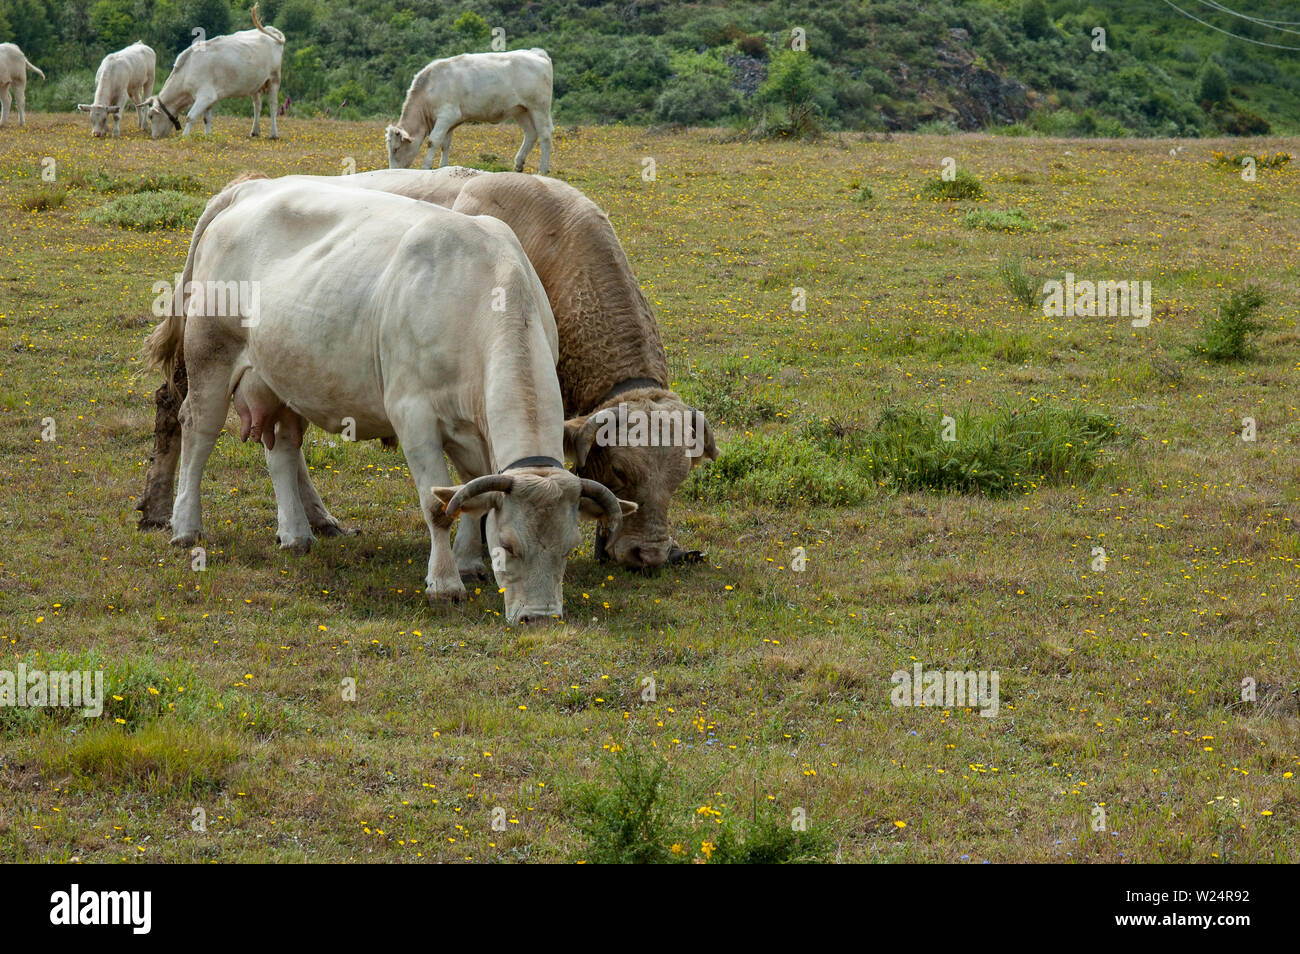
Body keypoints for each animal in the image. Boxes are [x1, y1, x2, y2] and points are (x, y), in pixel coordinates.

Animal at [137, 168, 716, 571]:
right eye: (618, 469)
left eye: (682, 476)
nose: (649, 555)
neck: (553, 240)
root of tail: (245, 188)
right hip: (206, 355)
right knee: (183, 418)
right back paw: (168, 516)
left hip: (286, 372)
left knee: (282, 441)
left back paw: (314, 523)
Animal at [143, 4, 284, 139]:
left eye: (150, 116)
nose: (154, 137)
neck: (186, 73)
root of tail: (271, 30)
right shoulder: (211, 98)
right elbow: (207, 119)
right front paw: (208, 135)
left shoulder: (205, 95)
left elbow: (190, 116)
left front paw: (185, 136)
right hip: (256, 84)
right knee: (257, 106)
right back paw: (254, 132)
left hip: (274, 78)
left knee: (273, 106)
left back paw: (274, 134)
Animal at [386, 49, 553, 174]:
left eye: (396, 149)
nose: (392, 171)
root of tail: (536, 53)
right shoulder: (450, 122)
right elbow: (445, 144)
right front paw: (443, 166)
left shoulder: (447, 115)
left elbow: (433, 141)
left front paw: (426, 166)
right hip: (521, 109)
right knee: (531, 133)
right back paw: (518, 164)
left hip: (539, 107)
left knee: (545, 134)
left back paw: (543, 170)